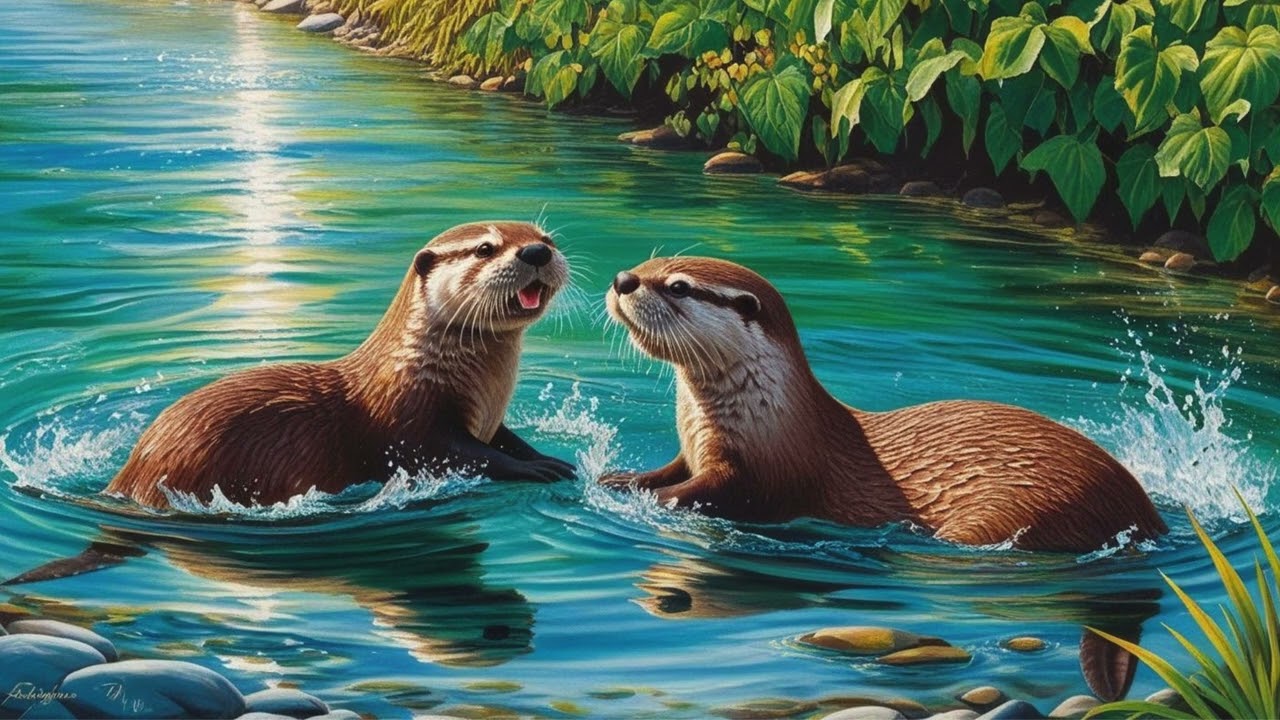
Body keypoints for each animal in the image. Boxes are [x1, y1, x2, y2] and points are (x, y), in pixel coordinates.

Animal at [105, 221, 575, 509]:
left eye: (547, 238)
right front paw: (536, 469)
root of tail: (129, 474)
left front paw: (548, 456)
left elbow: (506, 440)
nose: (536, 251)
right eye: (485, 248)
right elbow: (461, 454)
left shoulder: (488, 421)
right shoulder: (409, 421)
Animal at [599, 256, 1167, 553]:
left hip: (1021, 509)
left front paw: (652, 500)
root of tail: (1146, 511)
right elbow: (670, 468)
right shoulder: (693, 448)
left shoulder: (762, 472)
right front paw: (621, 479)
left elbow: (715, 492)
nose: (622, 279)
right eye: (647, 262)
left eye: (677, 286)